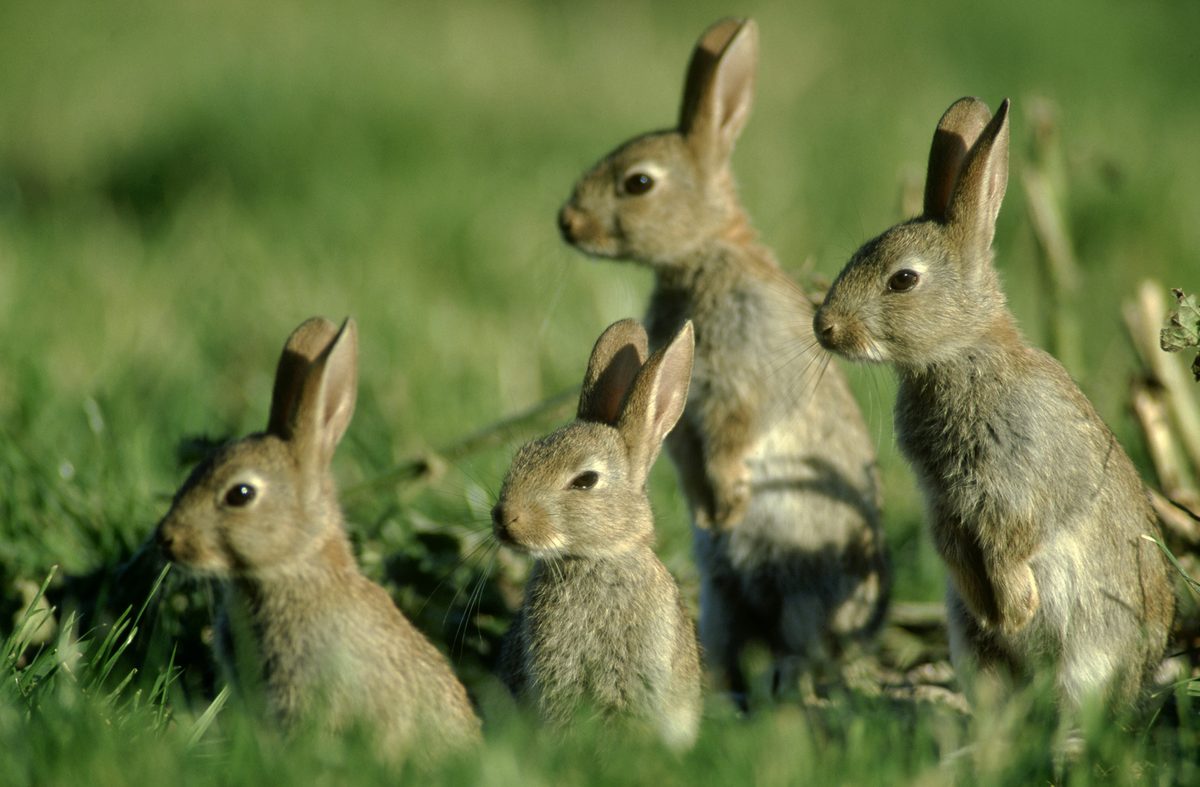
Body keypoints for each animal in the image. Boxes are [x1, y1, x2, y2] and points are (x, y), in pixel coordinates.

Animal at [557, 16, 889, 703]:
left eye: (638, 183)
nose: (566, 223)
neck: (704, 251)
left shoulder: (744, 375)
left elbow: (739, 430)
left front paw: (727, 504)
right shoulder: (686, 410)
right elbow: (681, 450)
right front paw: (710, 511)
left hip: (807, 591)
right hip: (722, 599)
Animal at [813, 97, 1175, 712]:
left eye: (902, 280)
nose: (824, 327)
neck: (960, 354)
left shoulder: (1015, 484)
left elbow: (1013, 543)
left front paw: (1016, 609)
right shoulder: (944, 501)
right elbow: (952, 547)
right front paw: (1000, 614)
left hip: (1092, 647)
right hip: (968, 644)